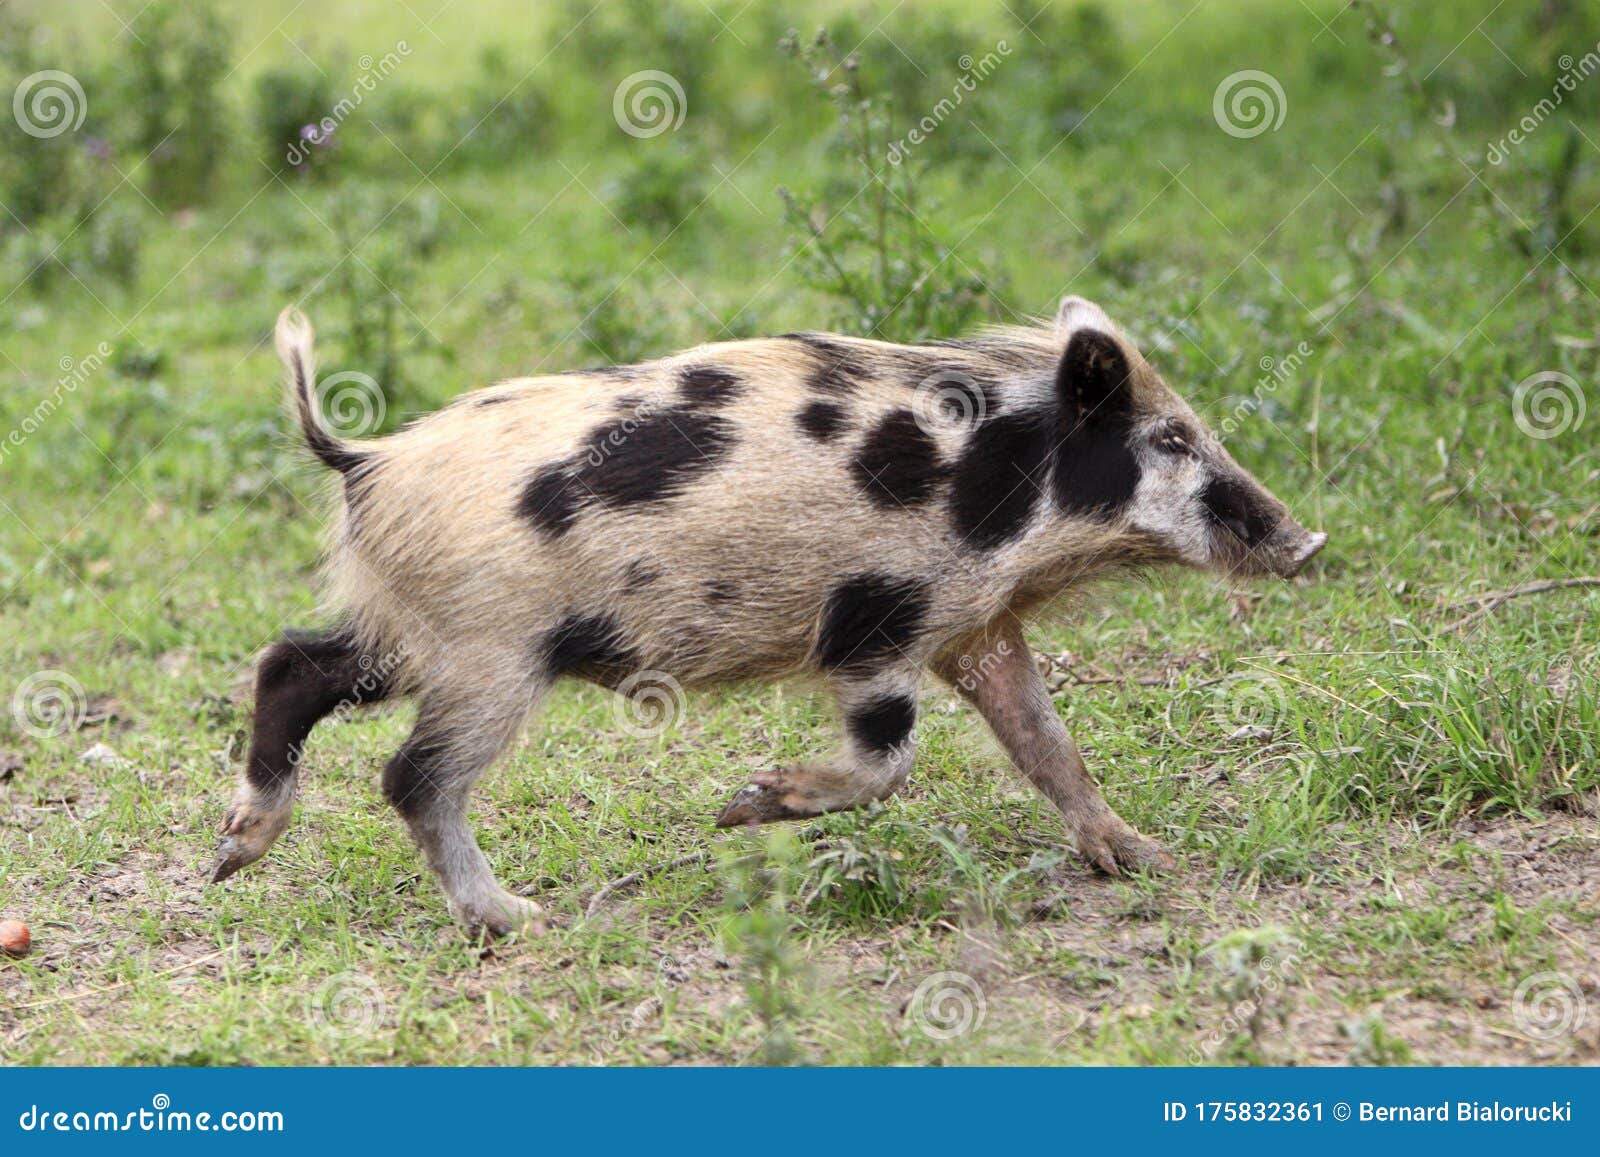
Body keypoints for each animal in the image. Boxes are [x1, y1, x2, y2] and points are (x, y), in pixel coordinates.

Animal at [210, 298, 1326, 934]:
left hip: (417, 631)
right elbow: (890, 757)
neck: (1000, 498)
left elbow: (1048, 742)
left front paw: (1144, 859)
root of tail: (365, 459)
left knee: (292, 662)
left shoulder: (974, 624)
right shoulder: (878, 619)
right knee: (410, 774)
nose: (1307, 540)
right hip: (493, 651)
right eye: (1172, 438)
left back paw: (231, 853)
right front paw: (742, 806)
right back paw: (521, 916)